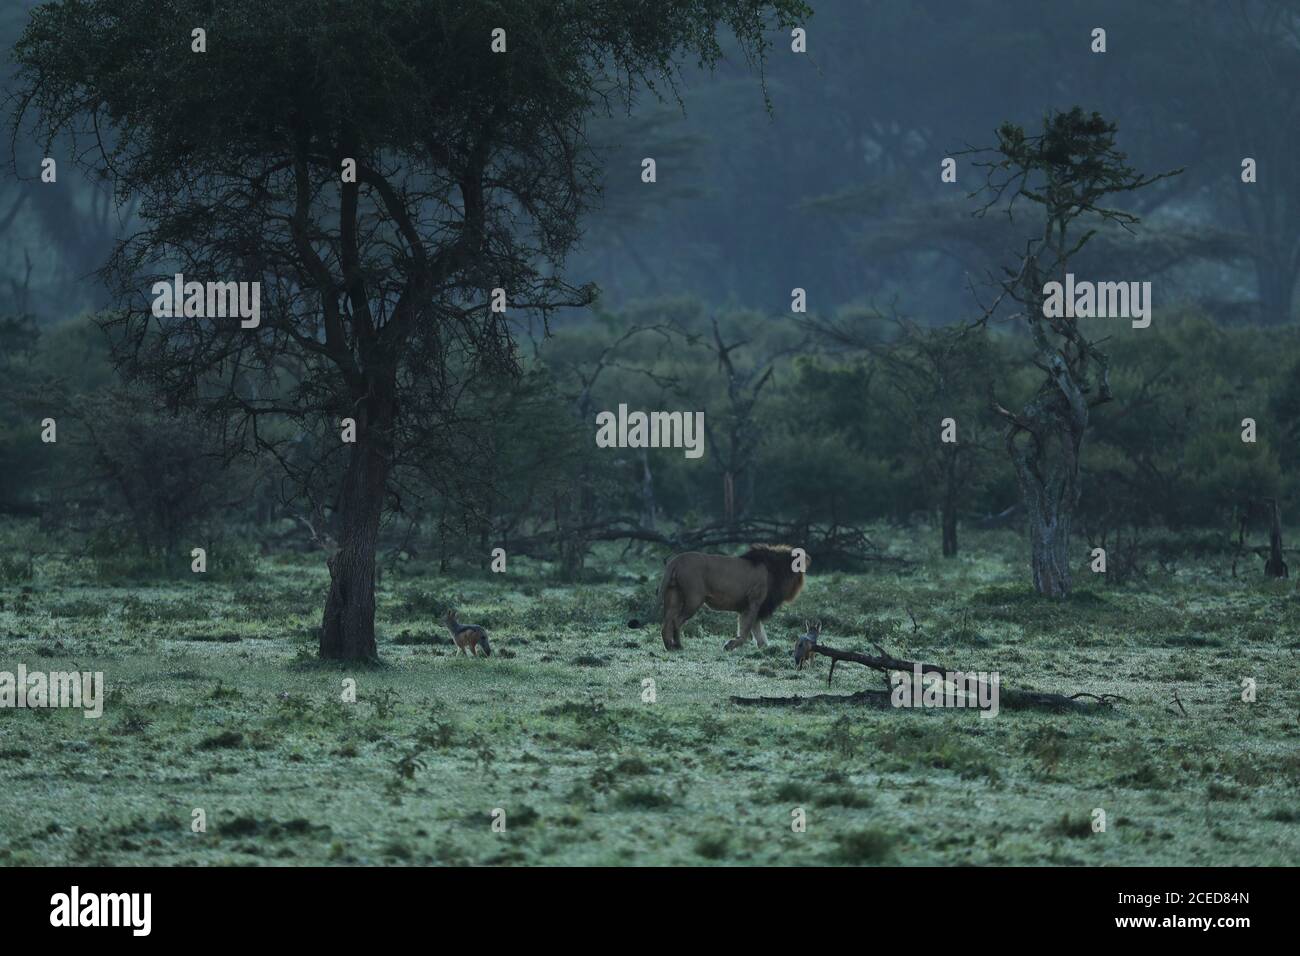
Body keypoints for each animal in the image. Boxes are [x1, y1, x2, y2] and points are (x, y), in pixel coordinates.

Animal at [654, 545, 807, 652]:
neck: (775, 571)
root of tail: (676, 560)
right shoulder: (754, 602)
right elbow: (746, 630)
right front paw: (730, 645)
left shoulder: (750, 607)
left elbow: (756, 630)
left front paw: (765, 648)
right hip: (694, 599)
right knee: (676, 621)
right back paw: (678, 646)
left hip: (673, 597)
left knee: (666, 622)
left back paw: (669, 646)